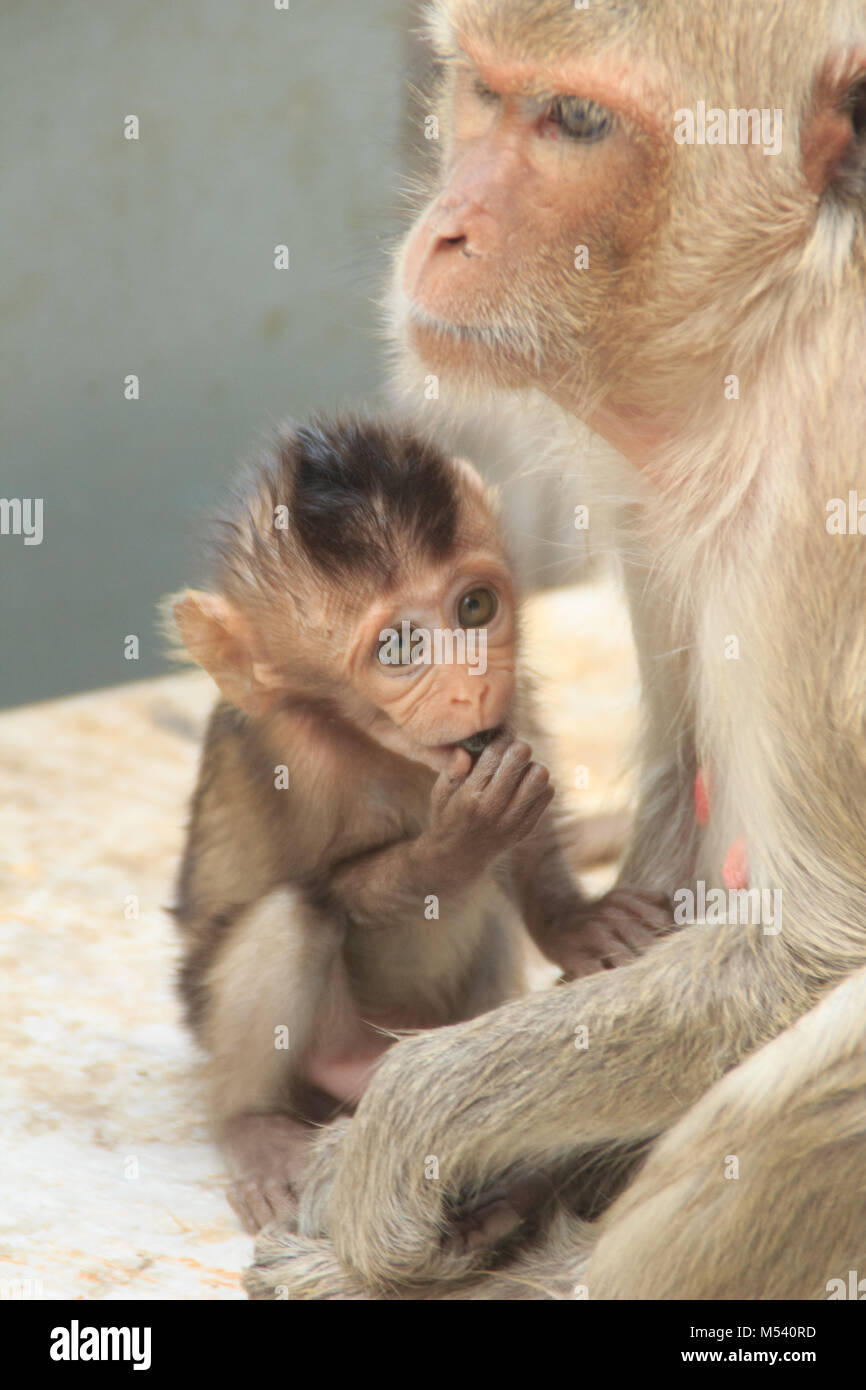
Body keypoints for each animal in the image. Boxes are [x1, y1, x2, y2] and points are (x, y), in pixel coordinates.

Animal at [170, 414, 670, 1234]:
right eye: (400, 646)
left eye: (475, 610)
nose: (473, 684)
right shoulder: (301, 755)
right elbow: (335, 886)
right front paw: (458, 841)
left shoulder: (514, 702)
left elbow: (528, 843)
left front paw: (576, 923)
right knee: (290, 919)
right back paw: (257, 1123)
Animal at [242, 0, 866, 1299]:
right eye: (483, 89)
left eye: (576, 120)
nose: (446, 227)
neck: (792, 292)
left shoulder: (826, 479)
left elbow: (816, 945)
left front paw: (392, 1138)